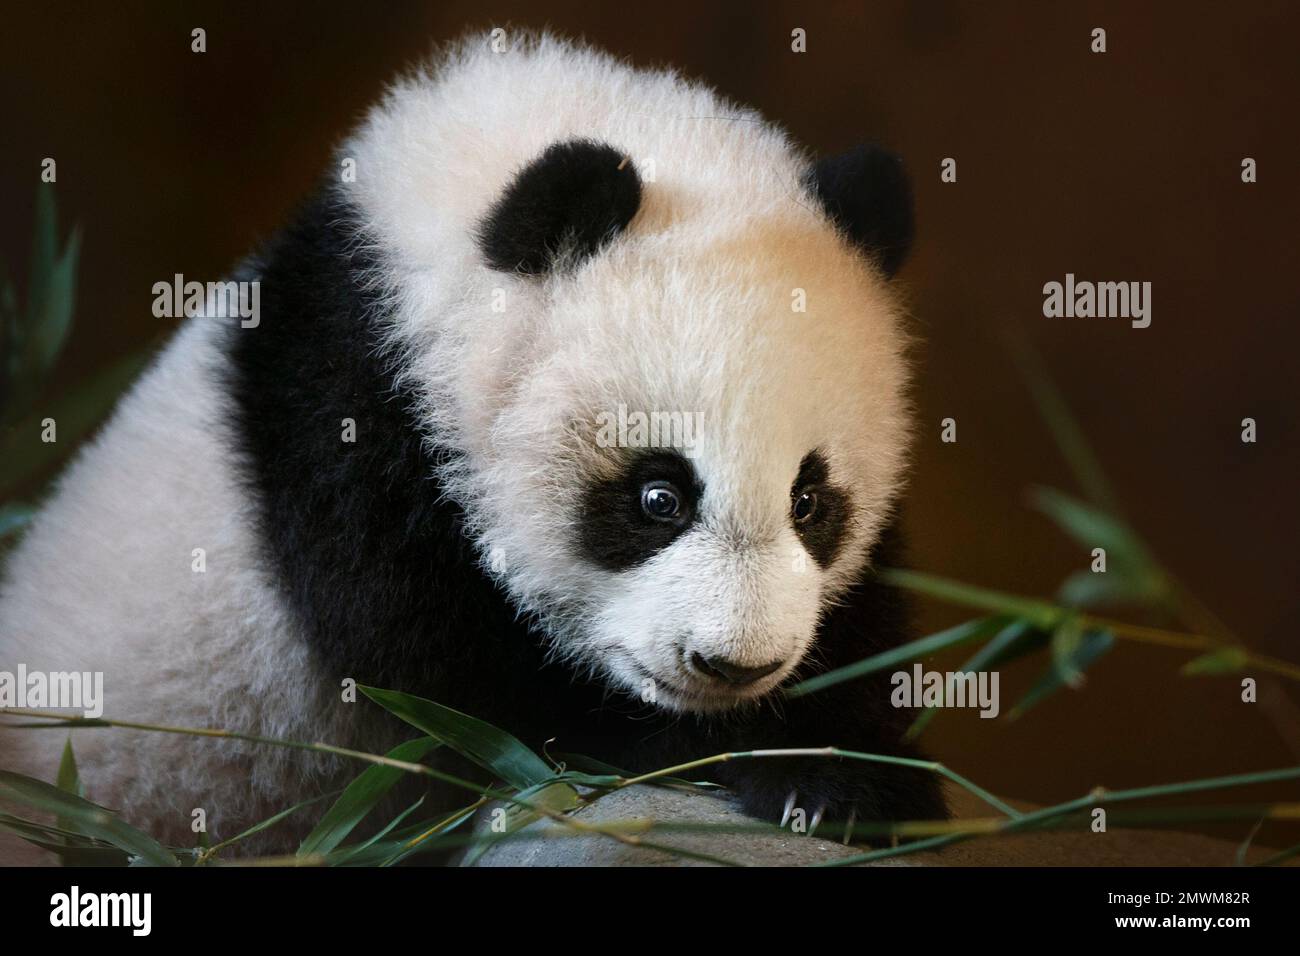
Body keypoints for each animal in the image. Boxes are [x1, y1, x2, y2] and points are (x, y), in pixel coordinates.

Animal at [0, 33, 946, 862]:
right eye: (658, 496)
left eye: (810, 501)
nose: (734, 664)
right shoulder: (351, 410)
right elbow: (461, 681)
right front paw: (775, 764)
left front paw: (857, 775)